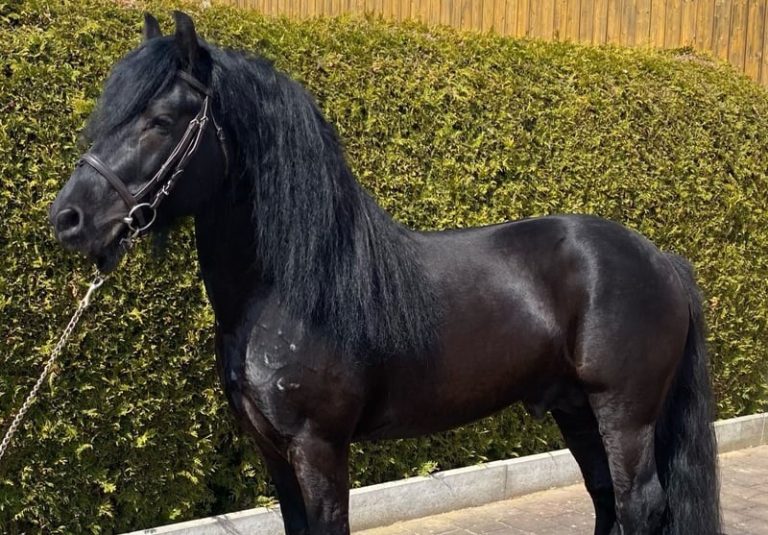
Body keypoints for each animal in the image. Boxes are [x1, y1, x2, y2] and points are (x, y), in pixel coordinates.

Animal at [49, 11, 721, 535]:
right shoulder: (273, 451)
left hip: (624, 415)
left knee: (639, 506)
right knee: (606, 501)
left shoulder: (319, 447)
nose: (68, 218)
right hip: (576, 409)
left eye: (159, 121)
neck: (288, 291)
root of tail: (660, 259)